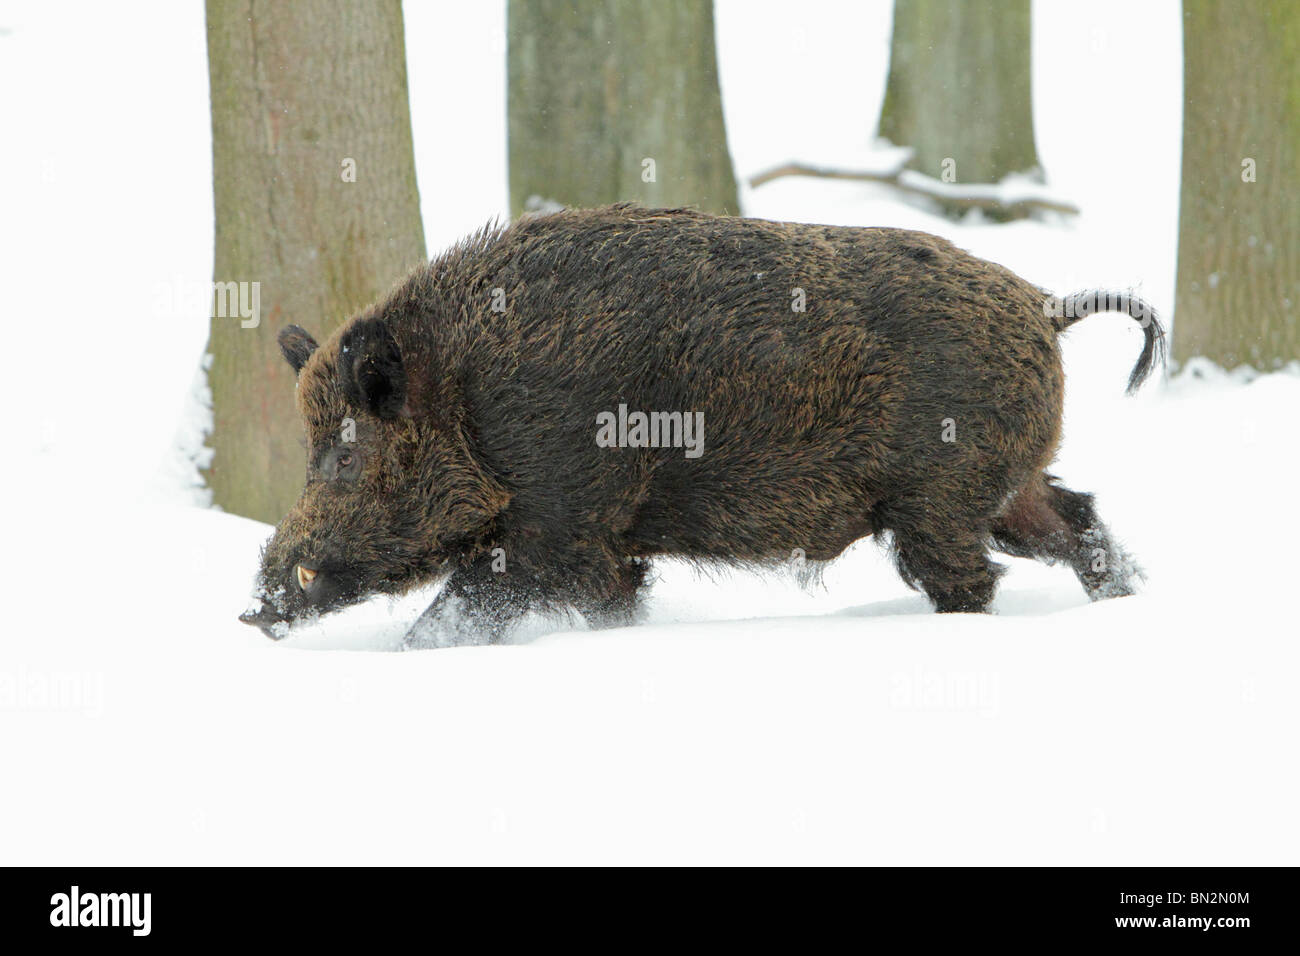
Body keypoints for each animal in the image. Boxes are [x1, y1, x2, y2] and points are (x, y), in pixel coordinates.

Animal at [239, 203, 1165, 647]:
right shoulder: (609, 551)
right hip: (1003, 484)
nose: (255, 607)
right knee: (1075, 519)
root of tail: (1044, 308)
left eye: (343, 458)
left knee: (972, 580)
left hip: (939, 497)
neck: (468, 395)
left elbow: (458, 612)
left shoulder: (560, 527)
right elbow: (614, 603)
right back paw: (1128, 600)